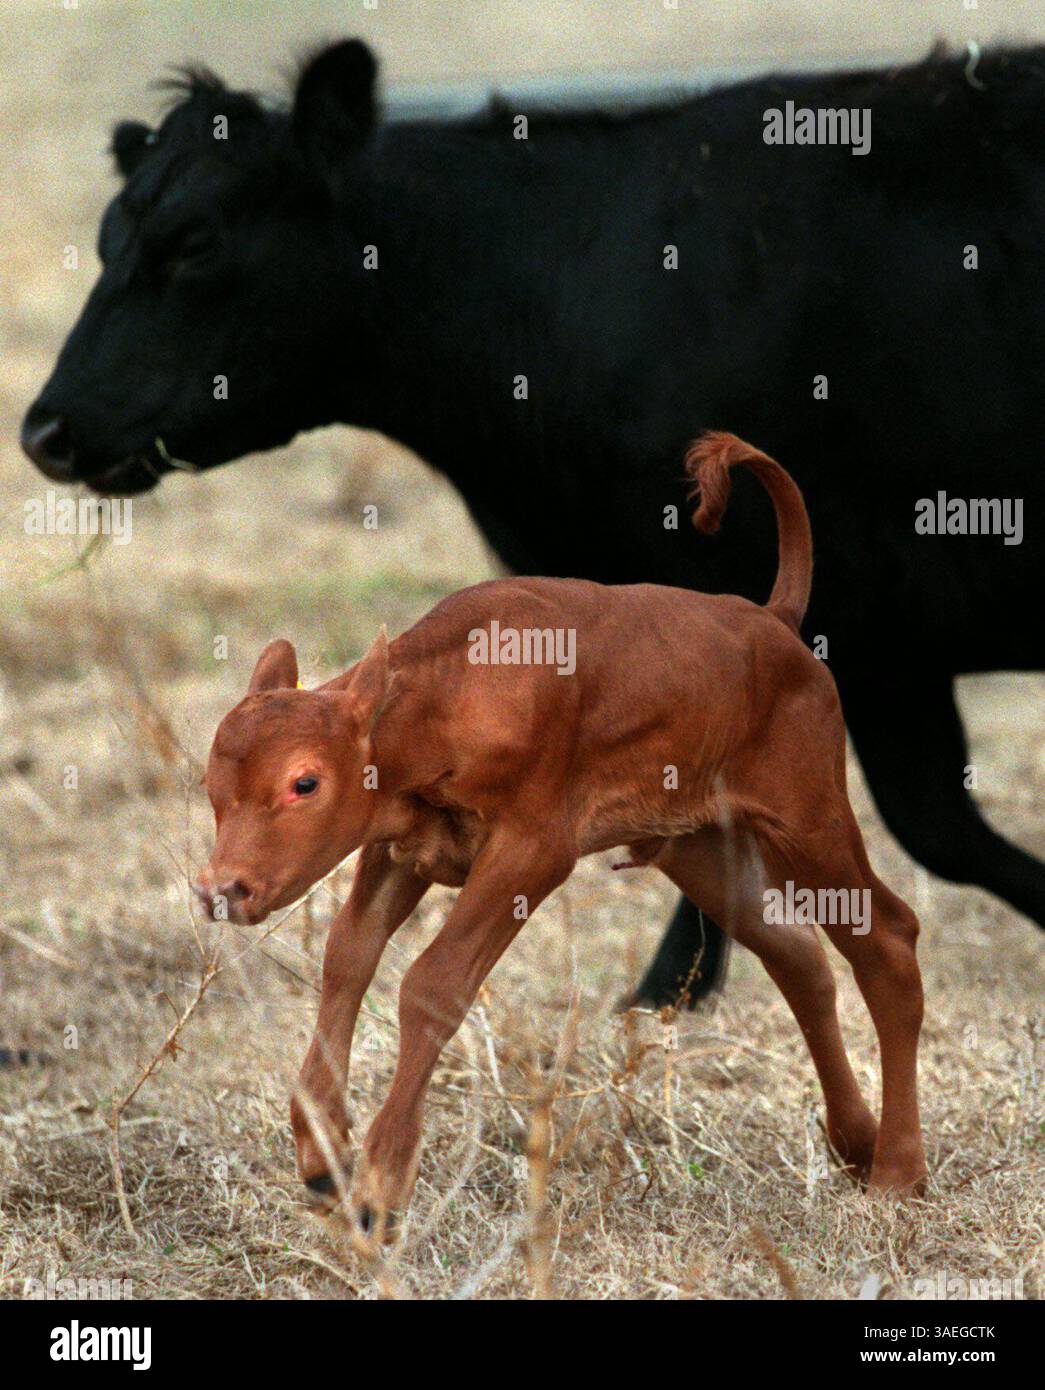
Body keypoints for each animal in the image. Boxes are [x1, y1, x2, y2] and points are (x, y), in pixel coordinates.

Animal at [21, 39, 1045, 1009]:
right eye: (108, 239)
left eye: (195, 241)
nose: (46, 429)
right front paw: (667, 995)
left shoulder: (858, 636)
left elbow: (933, 830)